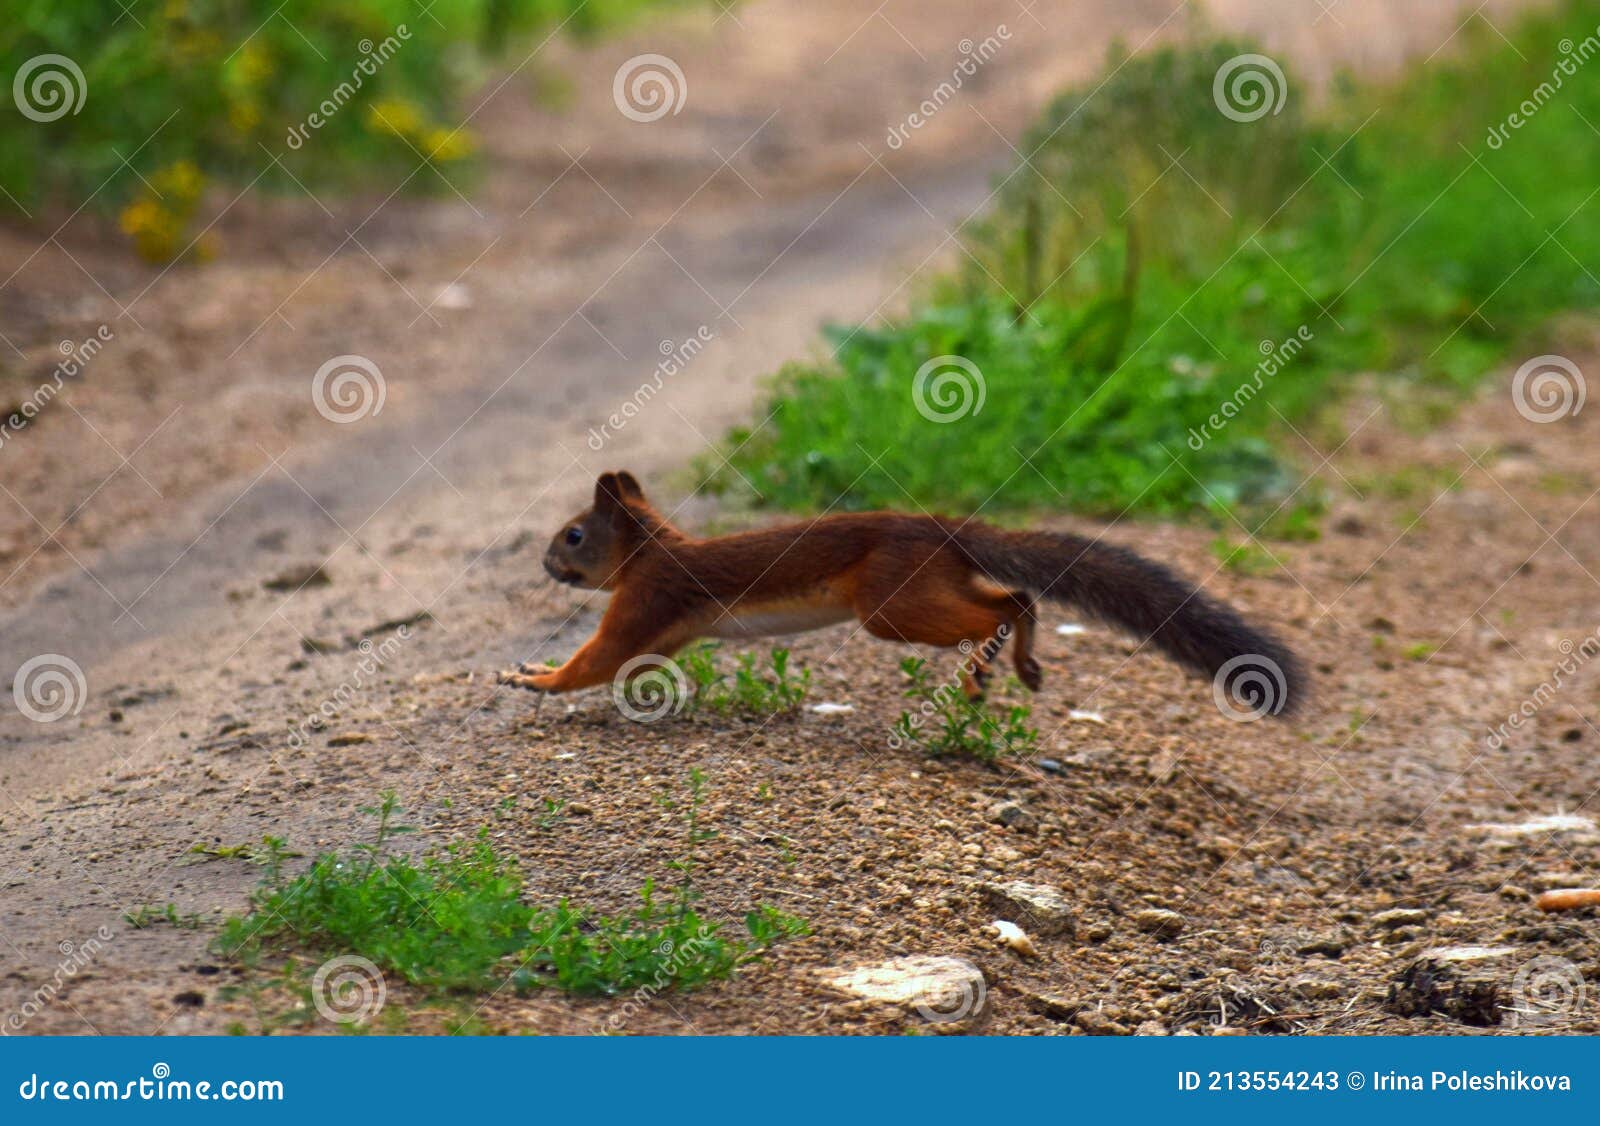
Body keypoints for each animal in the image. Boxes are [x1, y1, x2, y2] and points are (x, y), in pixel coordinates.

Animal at [497, 471, 1301, 717]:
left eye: (573, 534)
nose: (544, 561)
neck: (653, 551)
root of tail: (944, 530)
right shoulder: (668, 631)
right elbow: (633, 666)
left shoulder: (645, 600)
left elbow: (597, 659)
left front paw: (530, 676)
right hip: (922, 589)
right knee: (1013, 597)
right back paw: (1007, 669)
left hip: (891, 604)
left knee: (1012, 603)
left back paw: (992, 668)